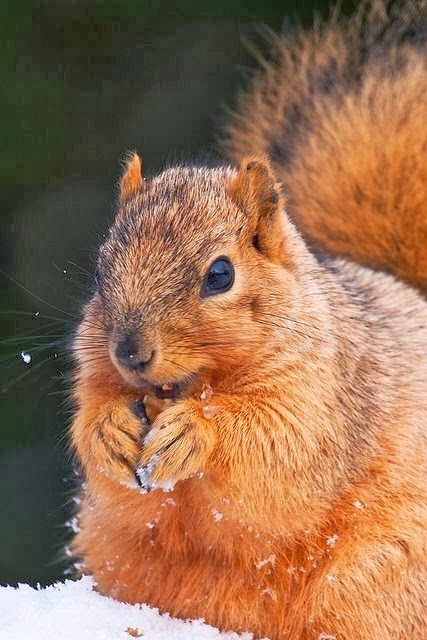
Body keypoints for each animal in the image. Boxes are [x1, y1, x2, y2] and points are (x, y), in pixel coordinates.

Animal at [70, 2, 427, 639]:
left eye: (220, 275)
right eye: (101, 267)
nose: (130, 353)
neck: (194, 383)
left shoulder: (326, 399)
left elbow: (280, 454)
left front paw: (198, 430)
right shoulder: (97, 376)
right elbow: (116, 481)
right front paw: (108, 428)